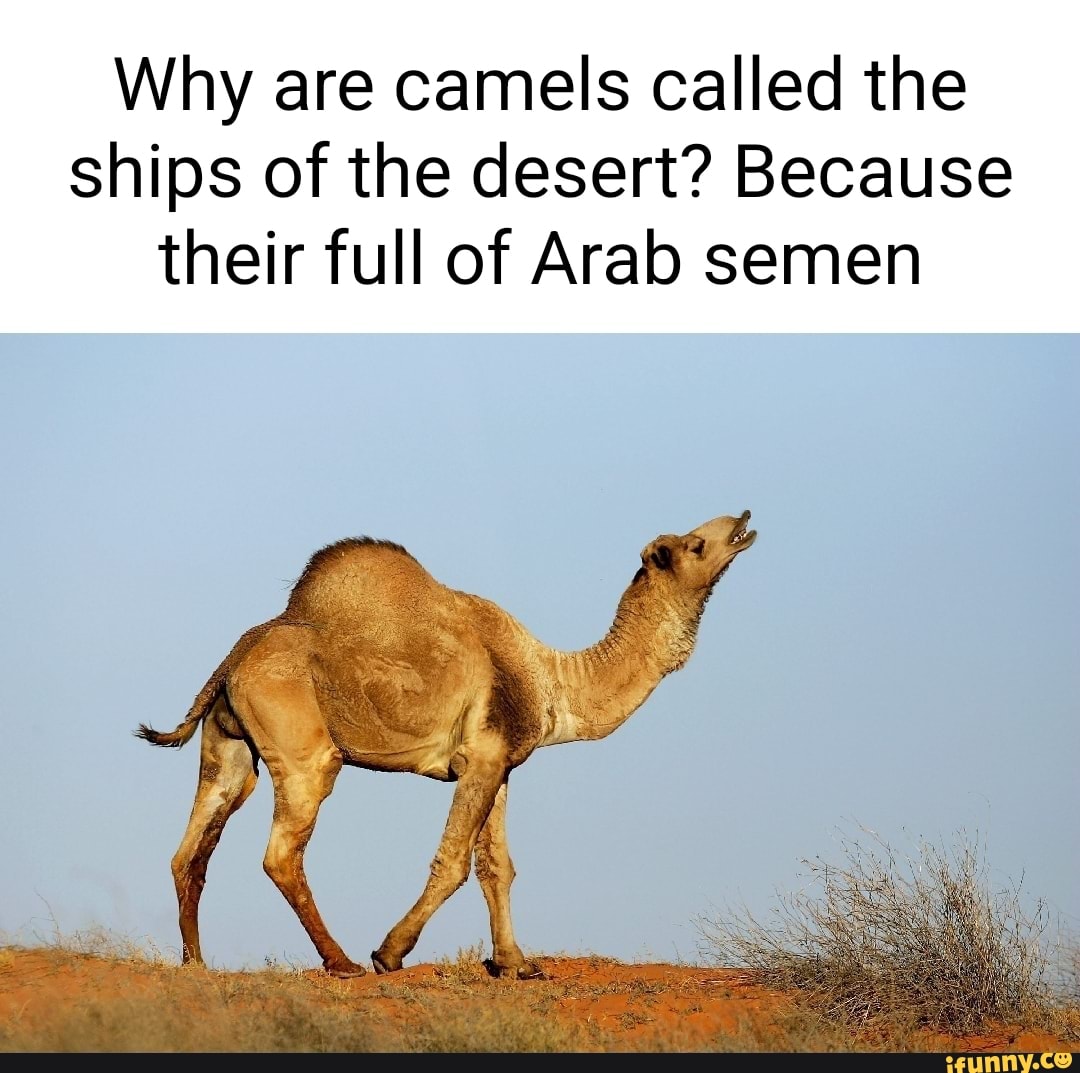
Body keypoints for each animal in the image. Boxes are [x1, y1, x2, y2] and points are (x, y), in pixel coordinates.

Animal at [136, 511, 757, 980]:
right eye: (695, 544)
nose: (744, 520)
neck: (552, 680)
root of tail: (234, 657)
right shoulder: (482, 757)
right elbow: (453, 862)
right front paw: (390, 953)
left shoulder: (499, 763)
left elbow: (498, 867)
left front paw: (515, 964)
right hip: (305, 753)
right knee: (281, 853)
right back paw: (343, 963)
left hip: (228, 748)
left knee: (190, 849)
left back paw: (196, 964)